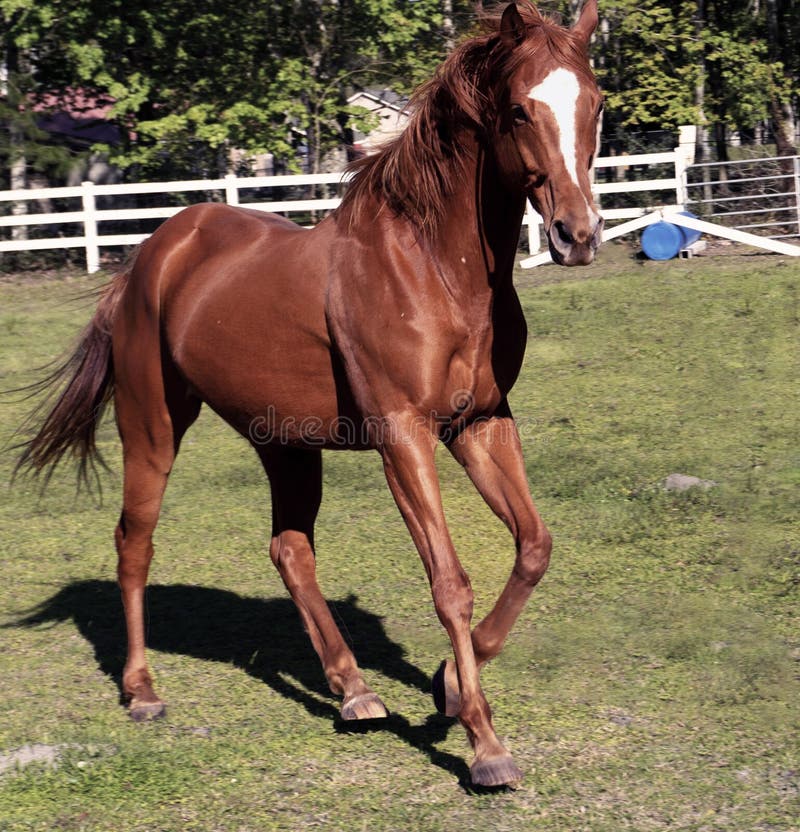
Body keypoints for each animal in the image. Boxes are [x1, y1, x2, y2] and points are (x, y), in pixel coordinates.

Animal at [17, 1, 603, 787]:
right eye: (518, 109)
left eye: (595, 104)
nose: (578, 234)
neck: (434, 270)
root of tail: (150, 256)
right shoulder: (404, 438)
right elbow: (450, 581)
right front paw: (485, 745)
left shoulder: (480, 424)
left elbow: (534, 546)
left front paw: (450, 683)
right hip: (153, 426)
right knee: (134, 543)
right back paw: (142, 692)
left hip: (286, 445)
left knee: (290, 550)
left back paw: (354, 691)